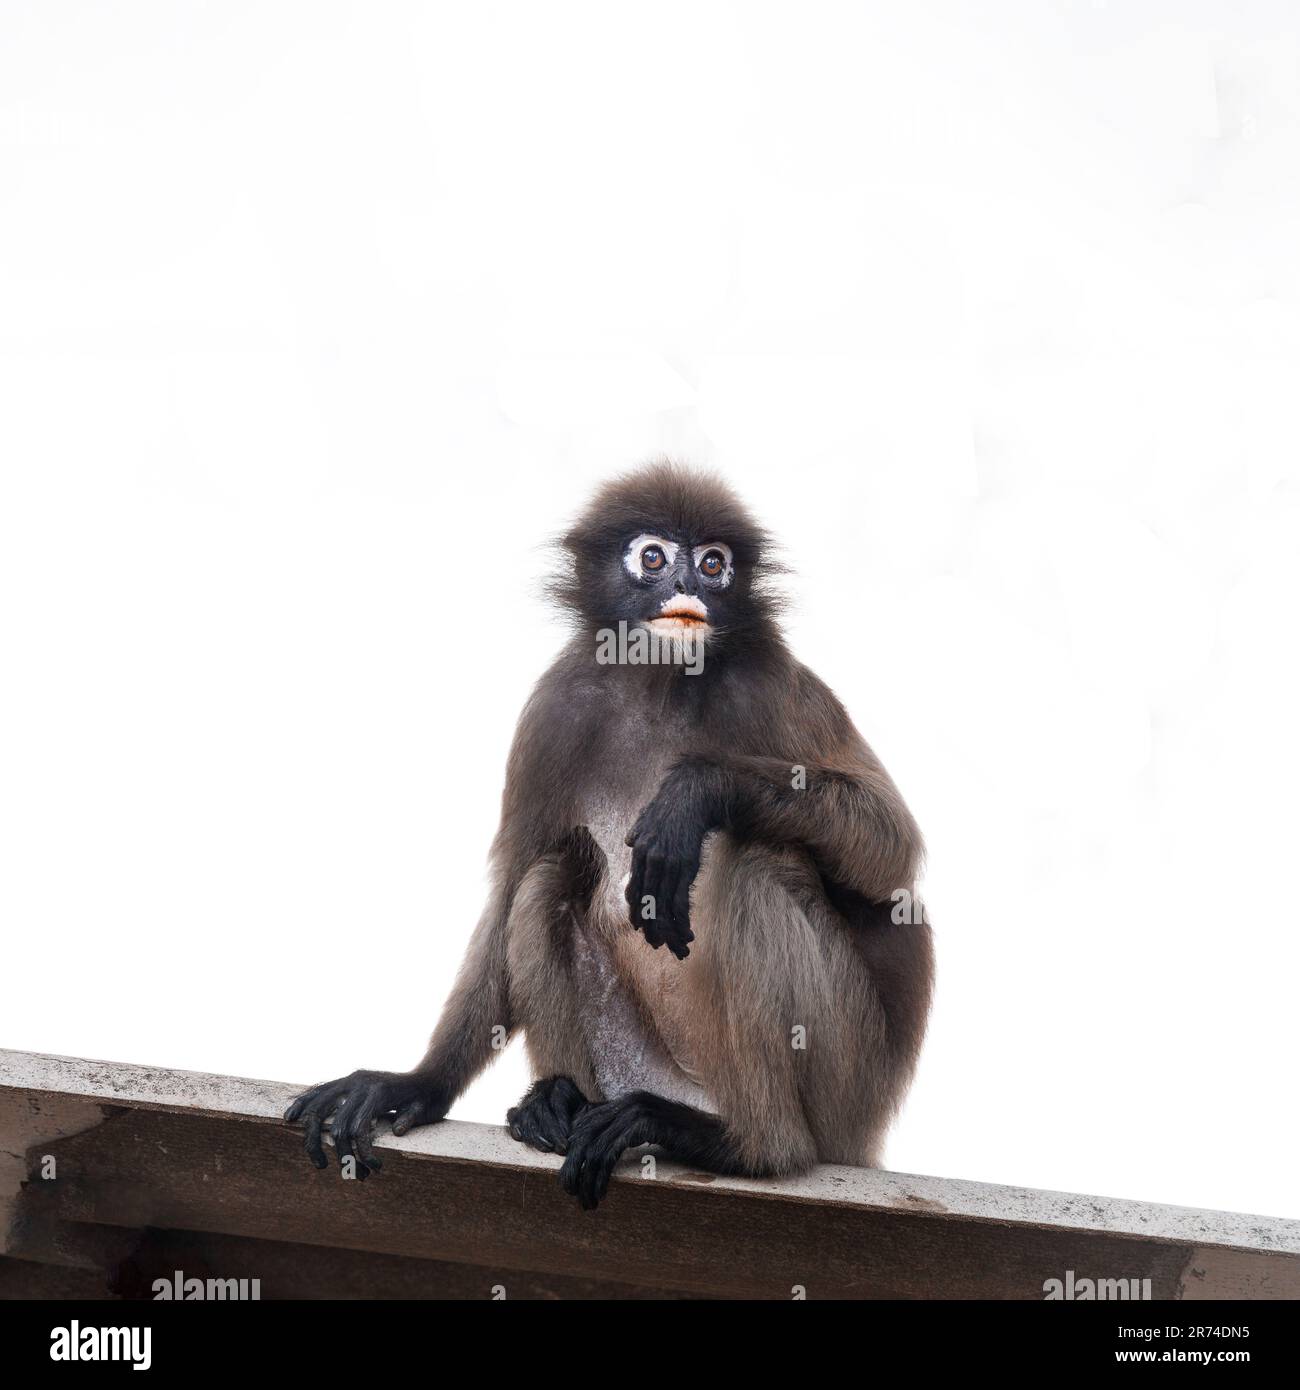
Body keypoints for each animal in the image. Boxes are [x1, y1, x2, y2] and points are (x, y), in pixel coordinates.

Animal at [284, 461, 933, 1209]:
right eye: (652, 557)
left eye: (714, 564)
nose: (689, 587)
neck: (657, 685)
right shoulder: (555, 706)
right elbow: (511, 883)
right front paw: (416, 1084)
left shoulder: (769, 682)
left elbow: (890, 849)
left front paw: (692, 794)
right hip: (638, 1066)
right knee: (553, 869)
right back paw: (559, 1107)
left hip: (846, 1079)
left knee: (753, 858)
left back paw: (749, 1145)